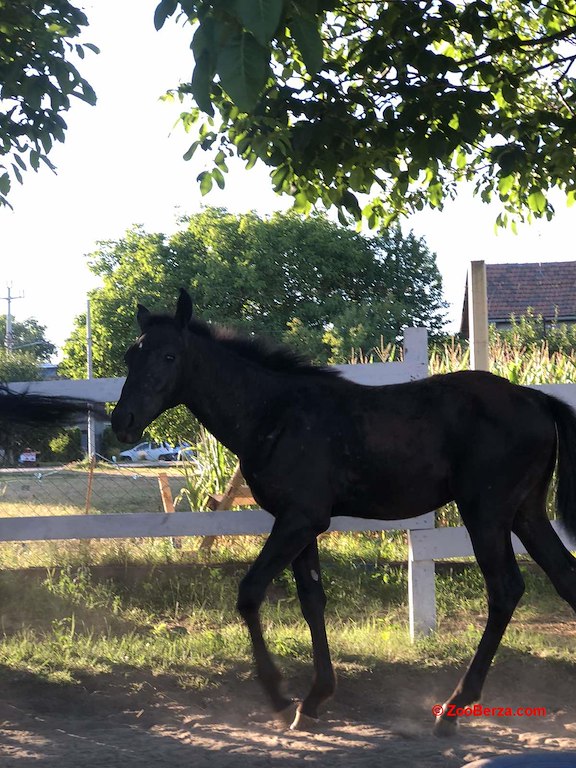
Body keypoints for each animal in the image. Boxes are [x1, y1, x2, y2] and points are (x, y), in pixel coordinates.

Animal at [111, 292, 576, 736]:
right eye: (131, 356)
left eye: (169, 356)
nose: (122, 422)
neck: (274, 413)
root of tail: (535, 397)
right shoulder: (300, 524)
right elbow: (312, 600)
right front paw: (314, 699)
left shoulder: (299, 519)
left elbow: (250, 592)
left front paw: (281, 698)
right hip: (526, 514)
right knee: (563, 576)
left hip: (487, 513)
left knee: (505, 590)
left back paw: (452, 708)